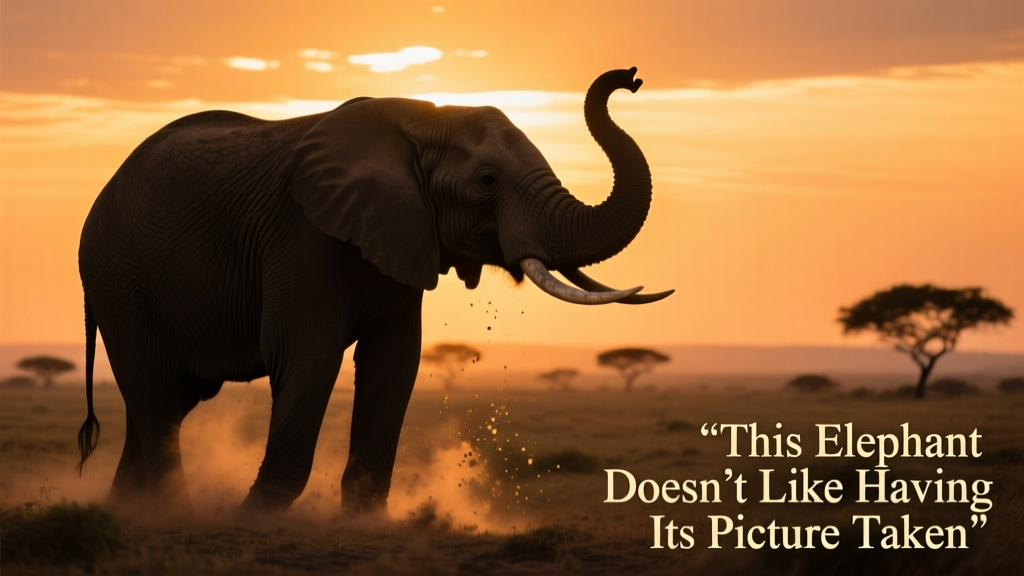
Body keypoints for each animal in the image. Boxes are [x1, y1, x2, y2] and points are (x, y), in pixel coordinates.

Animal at [75, 67, 672, 517]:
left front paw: (363, 522)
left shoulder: (404, 238)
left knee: (169, 398)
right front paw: (251, 519)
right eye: (486, 182)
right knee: (154, 388)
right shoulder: (302, 235)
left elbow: (394, 362)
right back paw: (180, 517)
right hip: (118, 273)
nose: (630, 78)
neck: (423, 119)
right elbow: (308, 357)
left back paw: (131, 512)